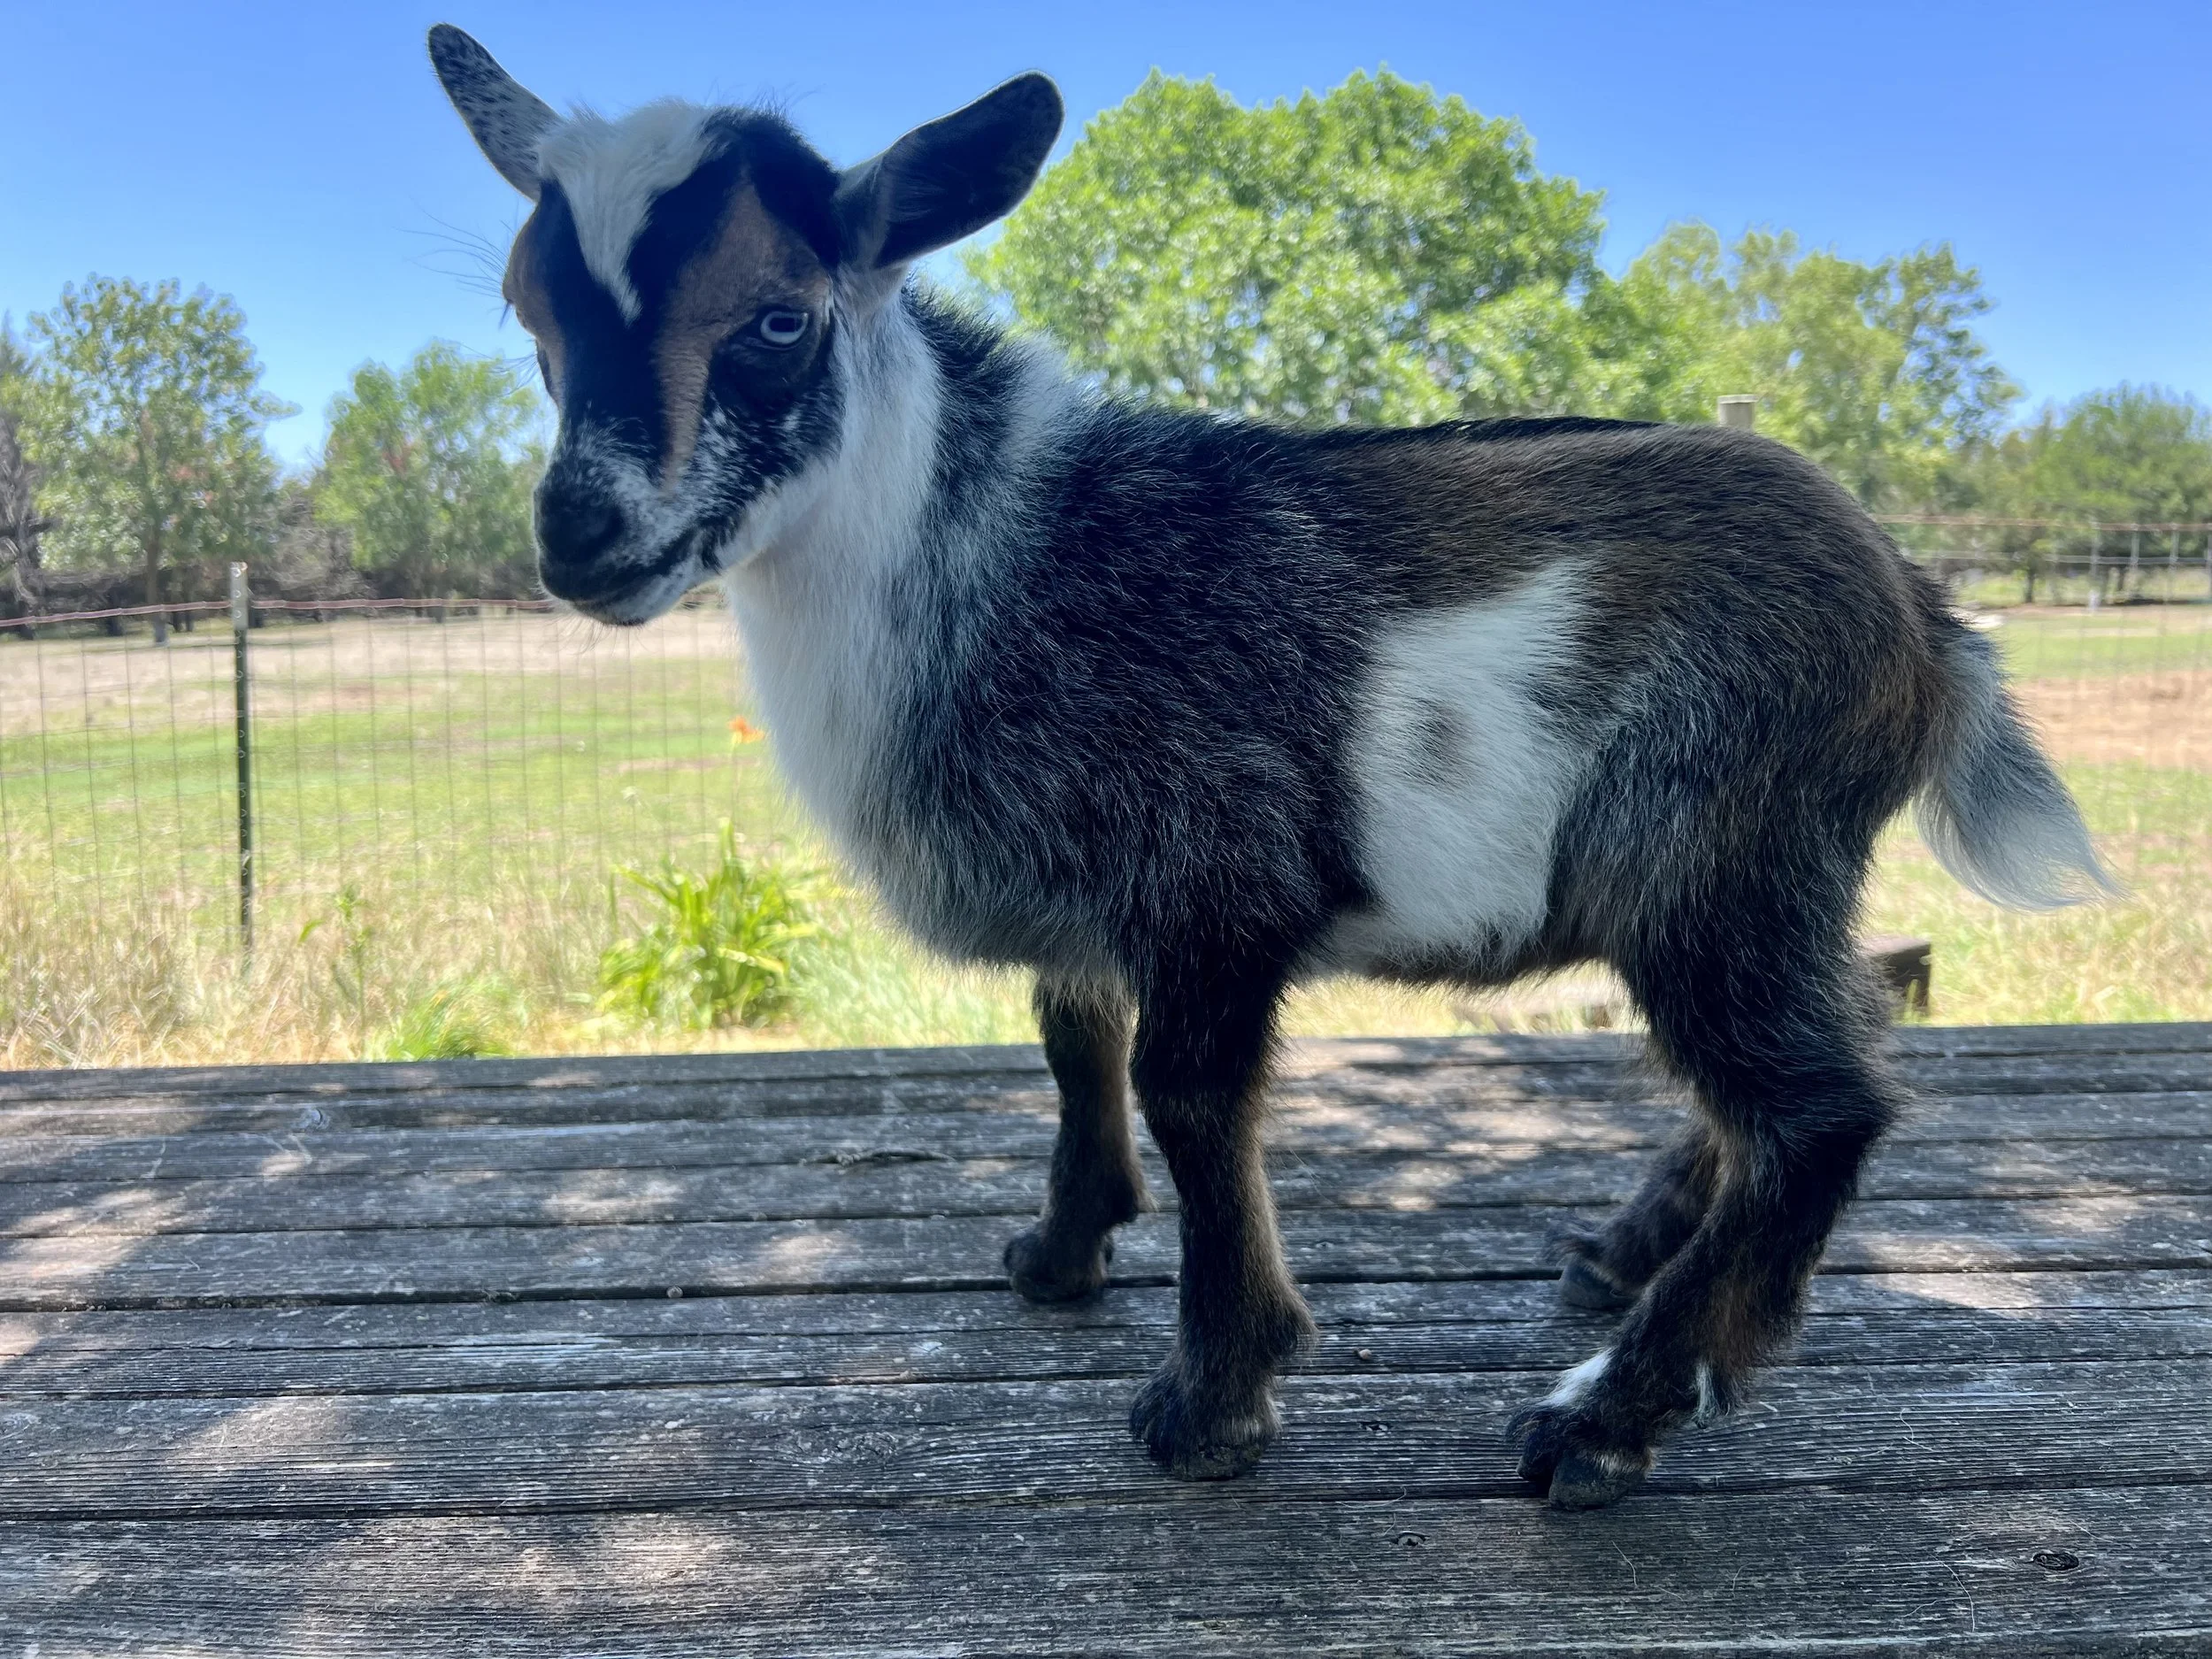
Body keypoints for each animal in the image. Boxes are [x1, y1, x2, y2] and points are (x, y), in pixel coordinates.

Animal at [430, 27, 2111, 1507]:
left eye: (778, 318)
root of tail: (1927, 617)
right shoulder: (1099, 889)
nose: (581, 539)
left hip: (1720, 850)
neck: (997, 551)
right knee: (1779, 1081)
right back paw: (1614, 1259)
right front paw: (1058, 1256)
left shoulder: (1218, 875)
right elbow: (1072, 1038)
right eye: (528, 316)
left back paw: (1599, 1421)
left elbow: (1187, 1091)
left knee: (1818, 1110)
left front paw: (1213, 1400)